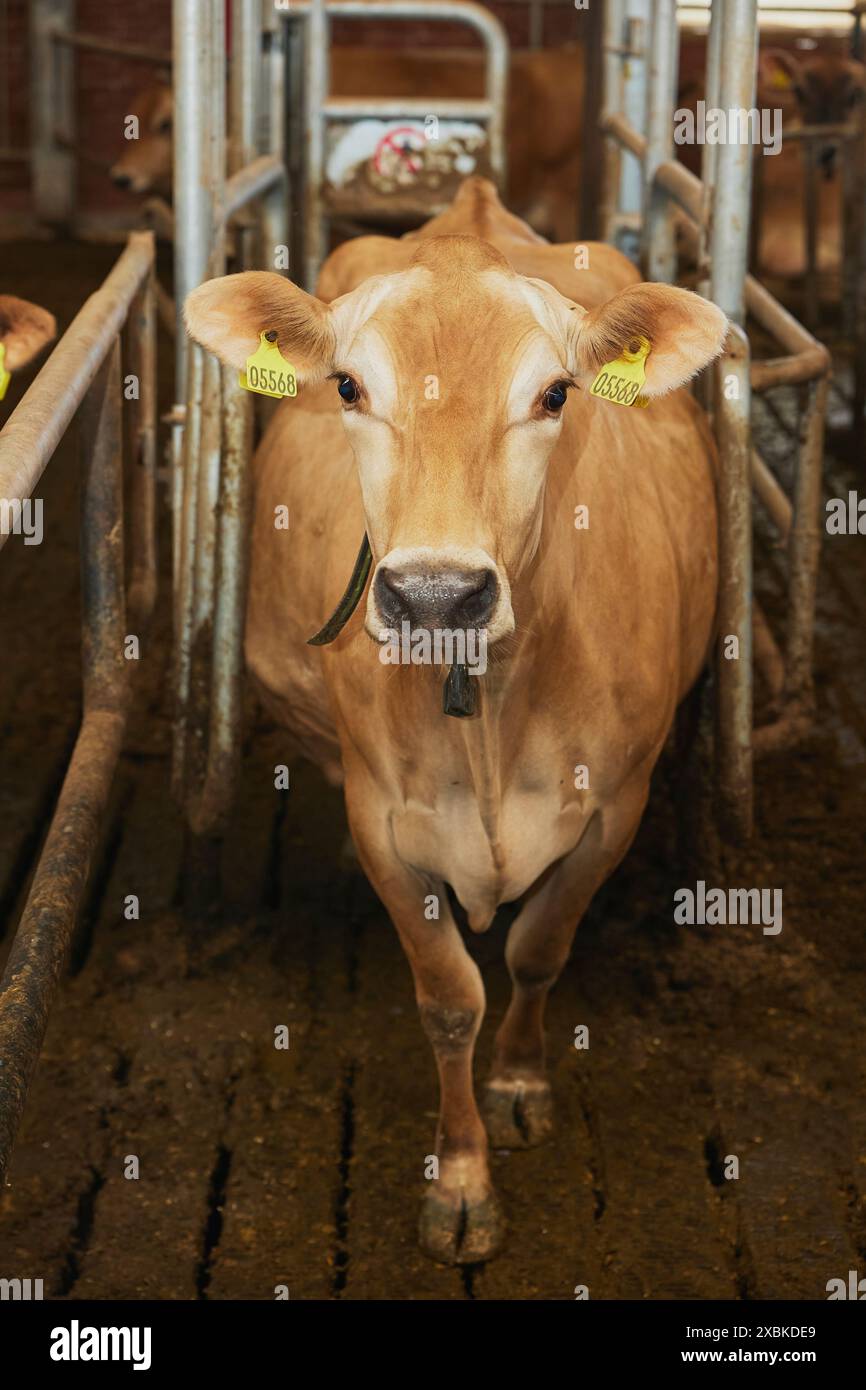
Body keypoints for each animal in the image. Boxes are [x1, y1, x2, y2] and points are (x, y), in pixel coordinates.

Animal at [184, 177, 727, 1263]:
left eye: (554, 394)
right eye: (348, 386)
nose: (437, 595)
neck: (490, 718)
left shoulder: (614, 806)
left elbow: (537, 950)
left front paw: (517, 1083)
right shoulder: (389, 824)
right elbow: (448, 1001)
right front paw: (462, 1179)